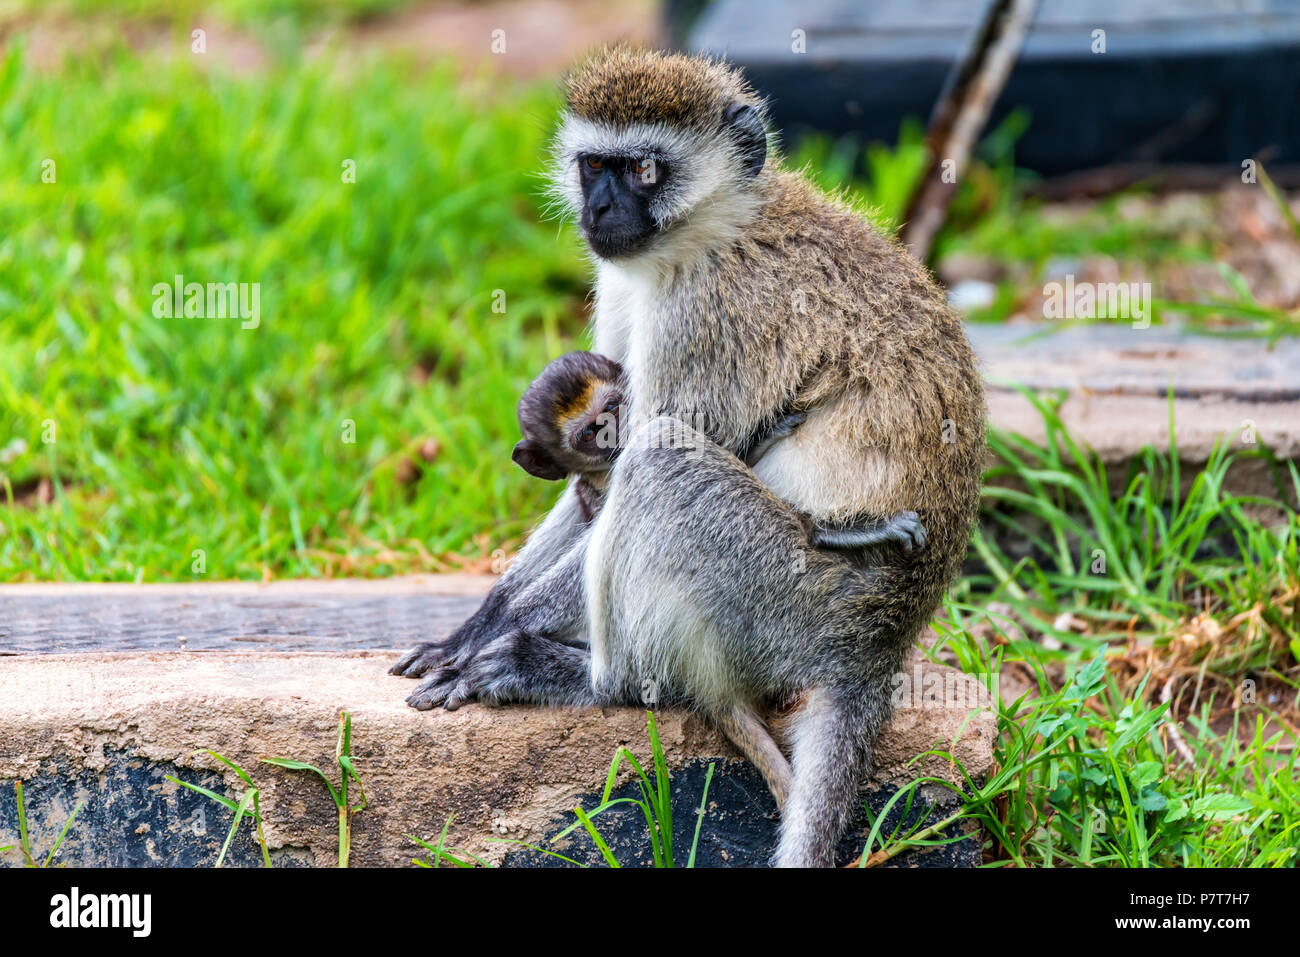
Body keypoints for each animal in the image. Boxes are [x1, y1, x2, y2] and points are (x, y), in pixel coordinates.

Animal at [391, 48, 986, 867]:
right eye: (595, 166)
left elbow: (639, 458)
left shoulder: (709, 316)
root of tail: (880, 645)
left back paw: (596, 679)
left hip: (788, 600)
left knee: (661, 467)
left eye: (644, 169)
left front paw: (500, 637)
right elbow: (592, 486)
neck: (711, 229)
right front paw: (481, 619)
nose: (600, 212)